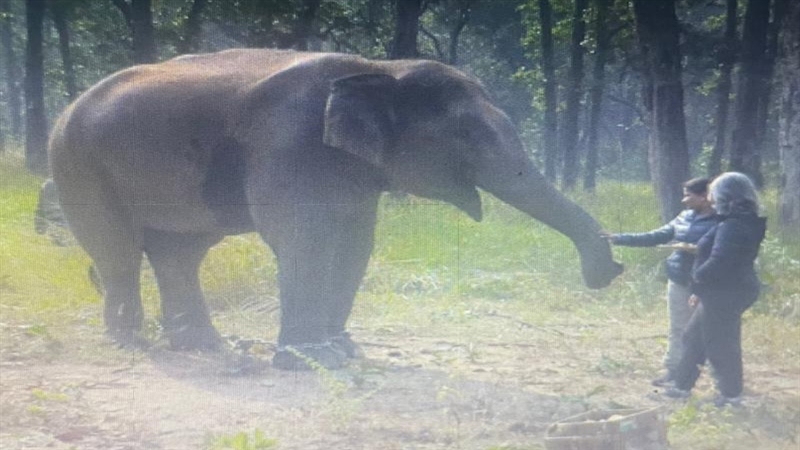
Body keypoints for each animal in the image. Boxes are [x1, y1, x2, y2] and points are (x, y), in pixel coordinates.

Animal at [49, 49, 623, 370]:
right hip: (79, 164)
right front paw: (312, 361)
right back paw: (133, 344)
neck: (379, 70)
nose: (612, 268)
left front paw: (343, 354)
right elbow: (306, 240)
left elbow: (355, 243)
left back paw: (204, 348)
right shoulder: (290, 145)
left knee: (178, 253)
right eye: (466, 134)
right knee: (120, 253)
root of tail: (66, 109)